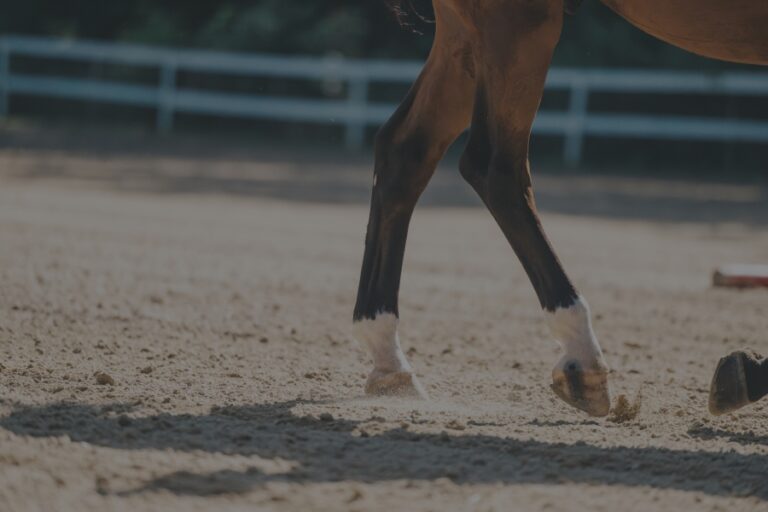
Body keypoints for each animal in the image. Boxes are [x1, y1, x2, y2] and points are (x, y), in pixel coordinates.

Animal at [352, 0, 768, 417]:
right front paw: (748, 370)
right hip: (519, 24)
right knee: (494, 170)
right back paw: (582, 355)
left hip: (463, 37)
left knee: (406, 152)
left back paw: (390, 361)